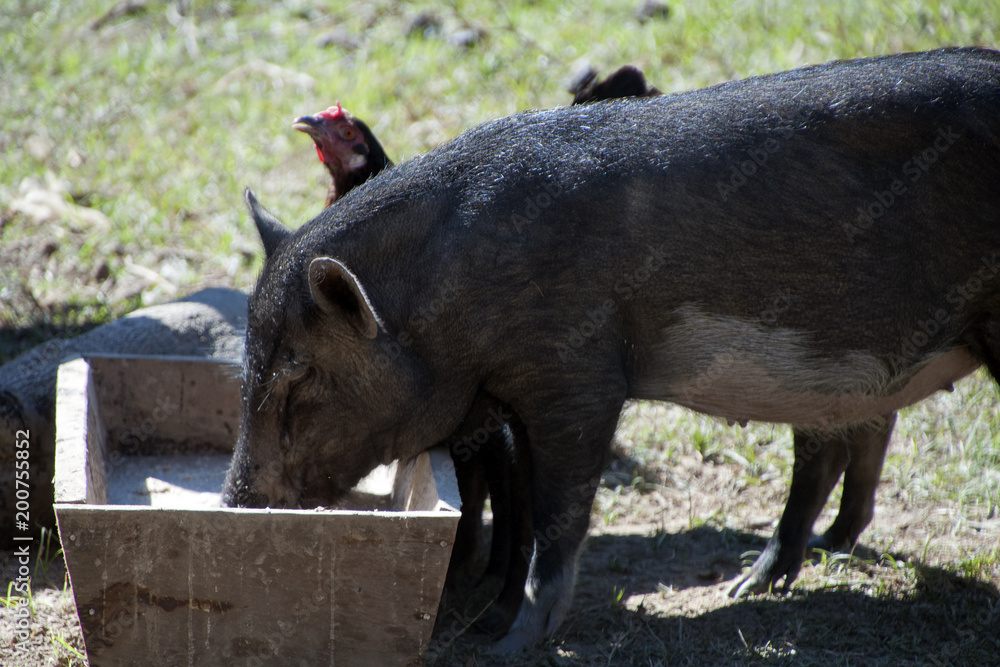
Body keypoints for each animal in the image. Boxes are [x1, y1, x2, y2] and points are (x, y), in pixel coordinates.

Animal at [224, 47, 1000, 652]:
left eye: (300, 370)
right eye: (248, 359)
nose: (236, 502)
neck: (445, 290)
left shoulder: (578, 377)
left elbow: (557, 519)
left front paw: (509, 647)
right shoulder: (514, 399)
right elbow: (522, 512)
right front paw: (488, 626)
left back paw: (753, 582)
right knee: (842, 447)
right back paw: (767, 577)